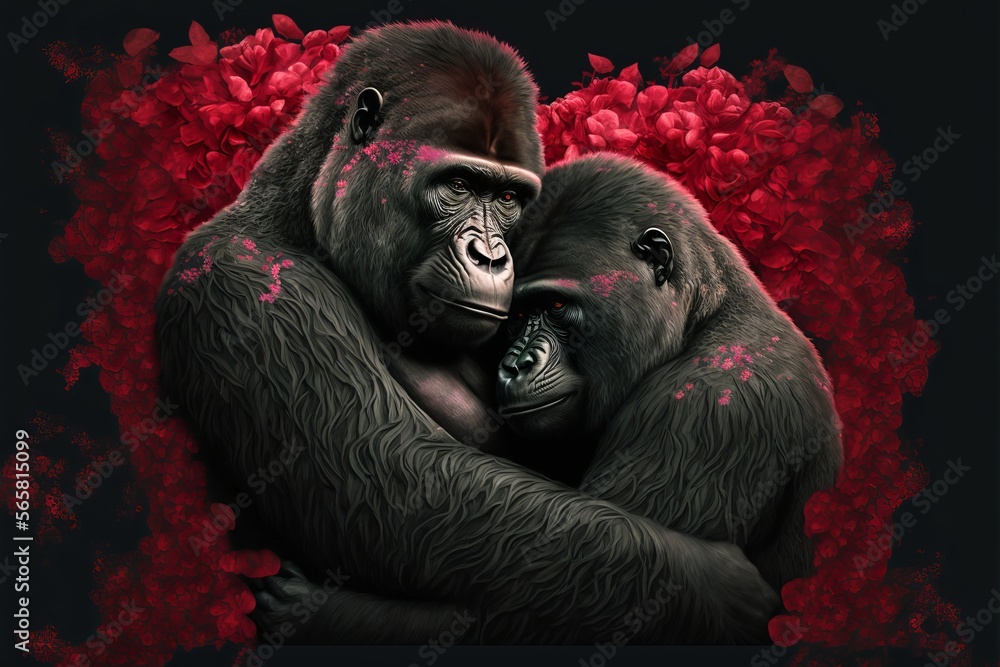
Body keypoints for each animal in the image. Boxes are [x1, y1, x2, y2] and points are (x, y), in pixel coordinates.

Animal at [156, 23, 778, 645]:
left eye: (506, 198)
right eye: (456, 184)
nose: (491, 256)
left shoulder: (717, 399)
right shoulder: (246, 281)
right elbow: (398, 493)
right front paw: (709, 584)